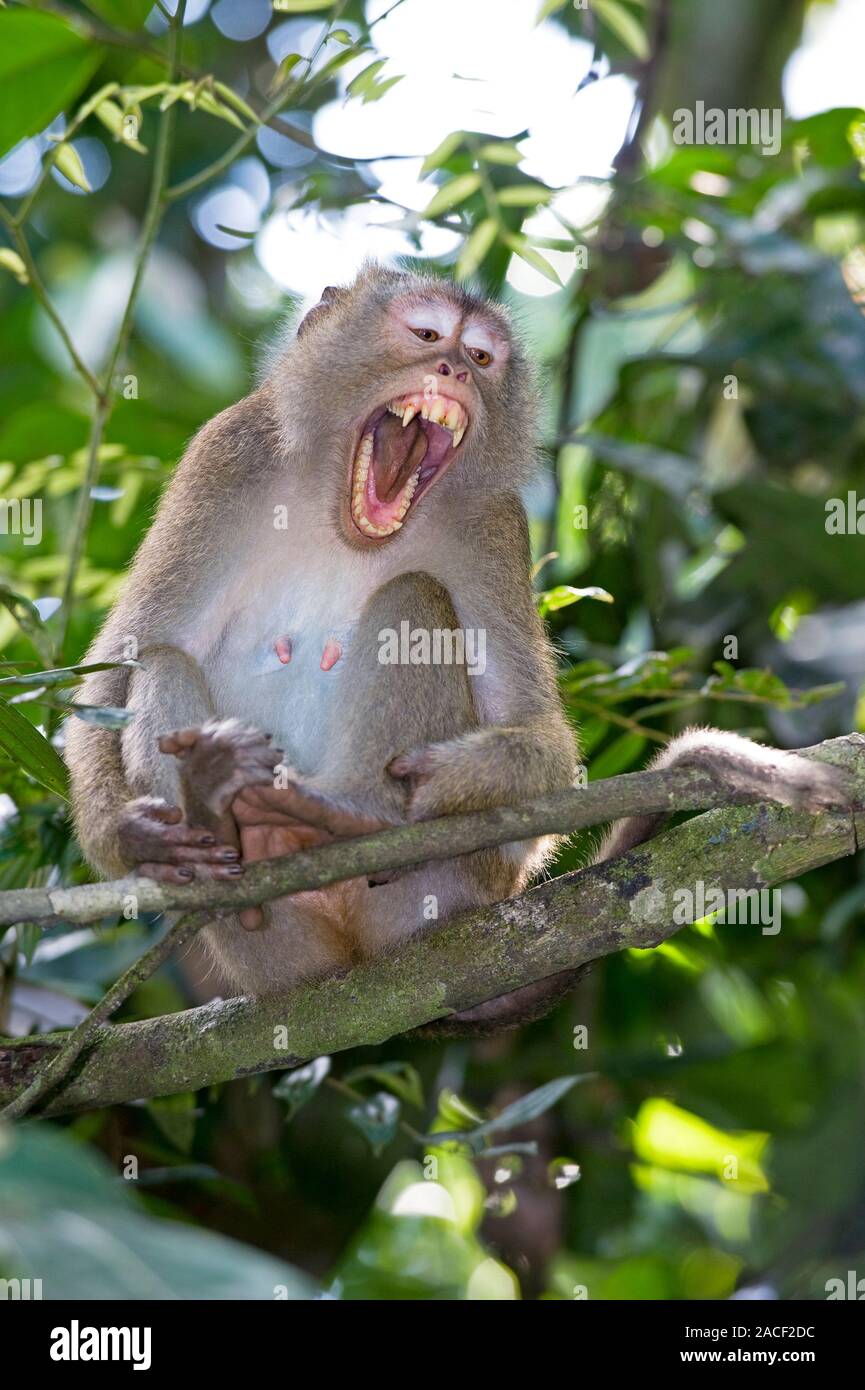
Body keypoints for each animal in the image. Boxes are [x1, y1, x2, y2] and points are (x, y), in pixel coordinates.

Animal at [64, 262, 852, 1034]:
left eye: (480, 357)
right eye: (425, 334)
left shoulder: (494, 526)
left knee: (414, 597)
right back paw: (219, 817)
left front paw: (442, 781)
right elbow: (117, 669)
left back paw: (349, 812)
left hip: (445, 891)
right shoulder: (226, 456)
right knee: (163, 662)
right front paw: (128, 836)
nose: (450, 368)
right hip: (265, 950)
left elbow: (541, 740)